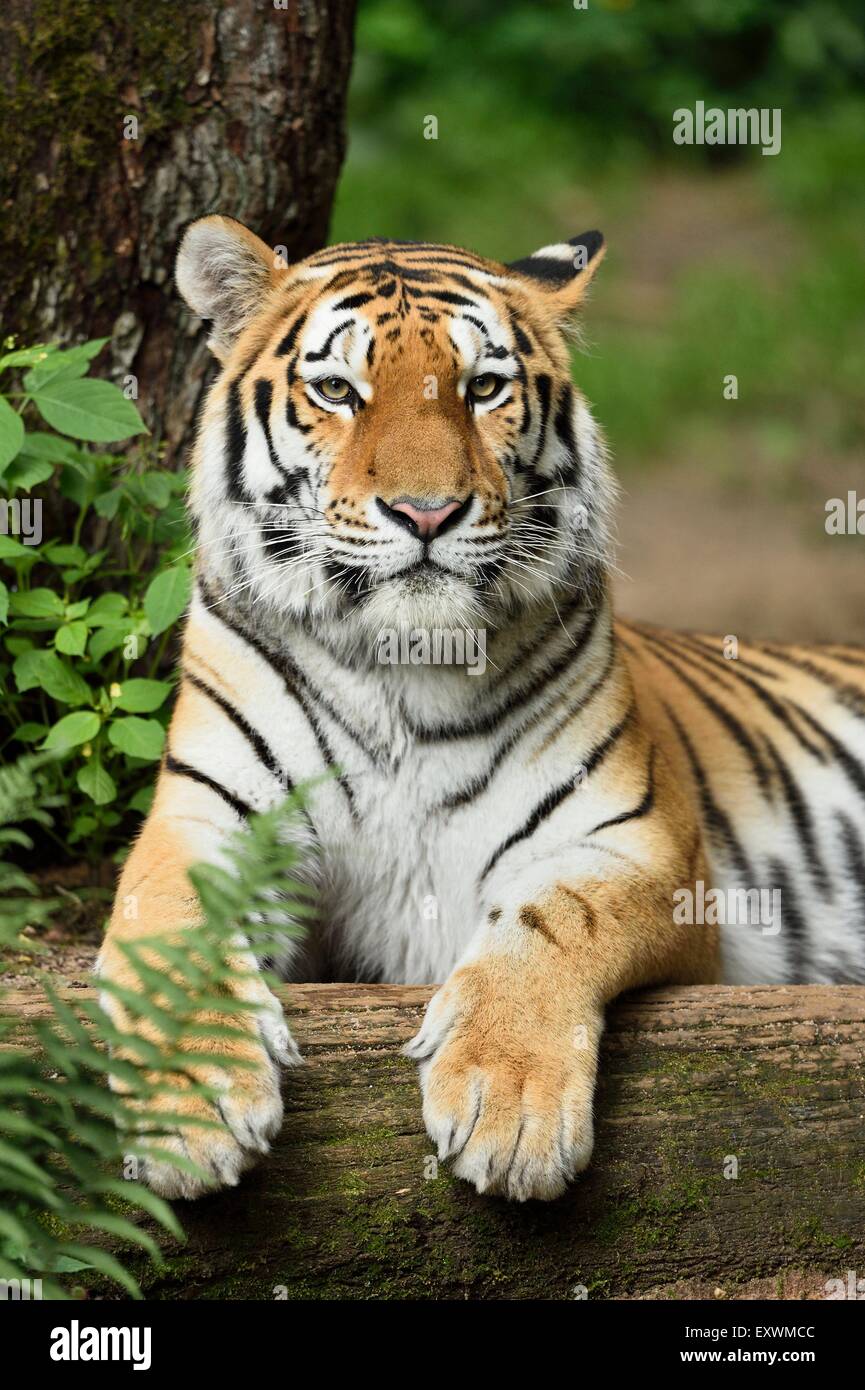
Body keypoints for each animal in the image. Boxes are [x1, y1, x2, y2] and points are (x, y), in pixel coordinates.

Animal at [99, 214, 865, 1202]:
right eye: (337, 390)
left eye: (484, 388)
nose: (426, 513)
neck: (401, 670)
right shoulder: (208, 819)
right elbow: (170, 932)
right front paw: (188, 1111)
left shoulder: (639, 844)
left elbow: (555, 918)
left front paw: (511, 1108)